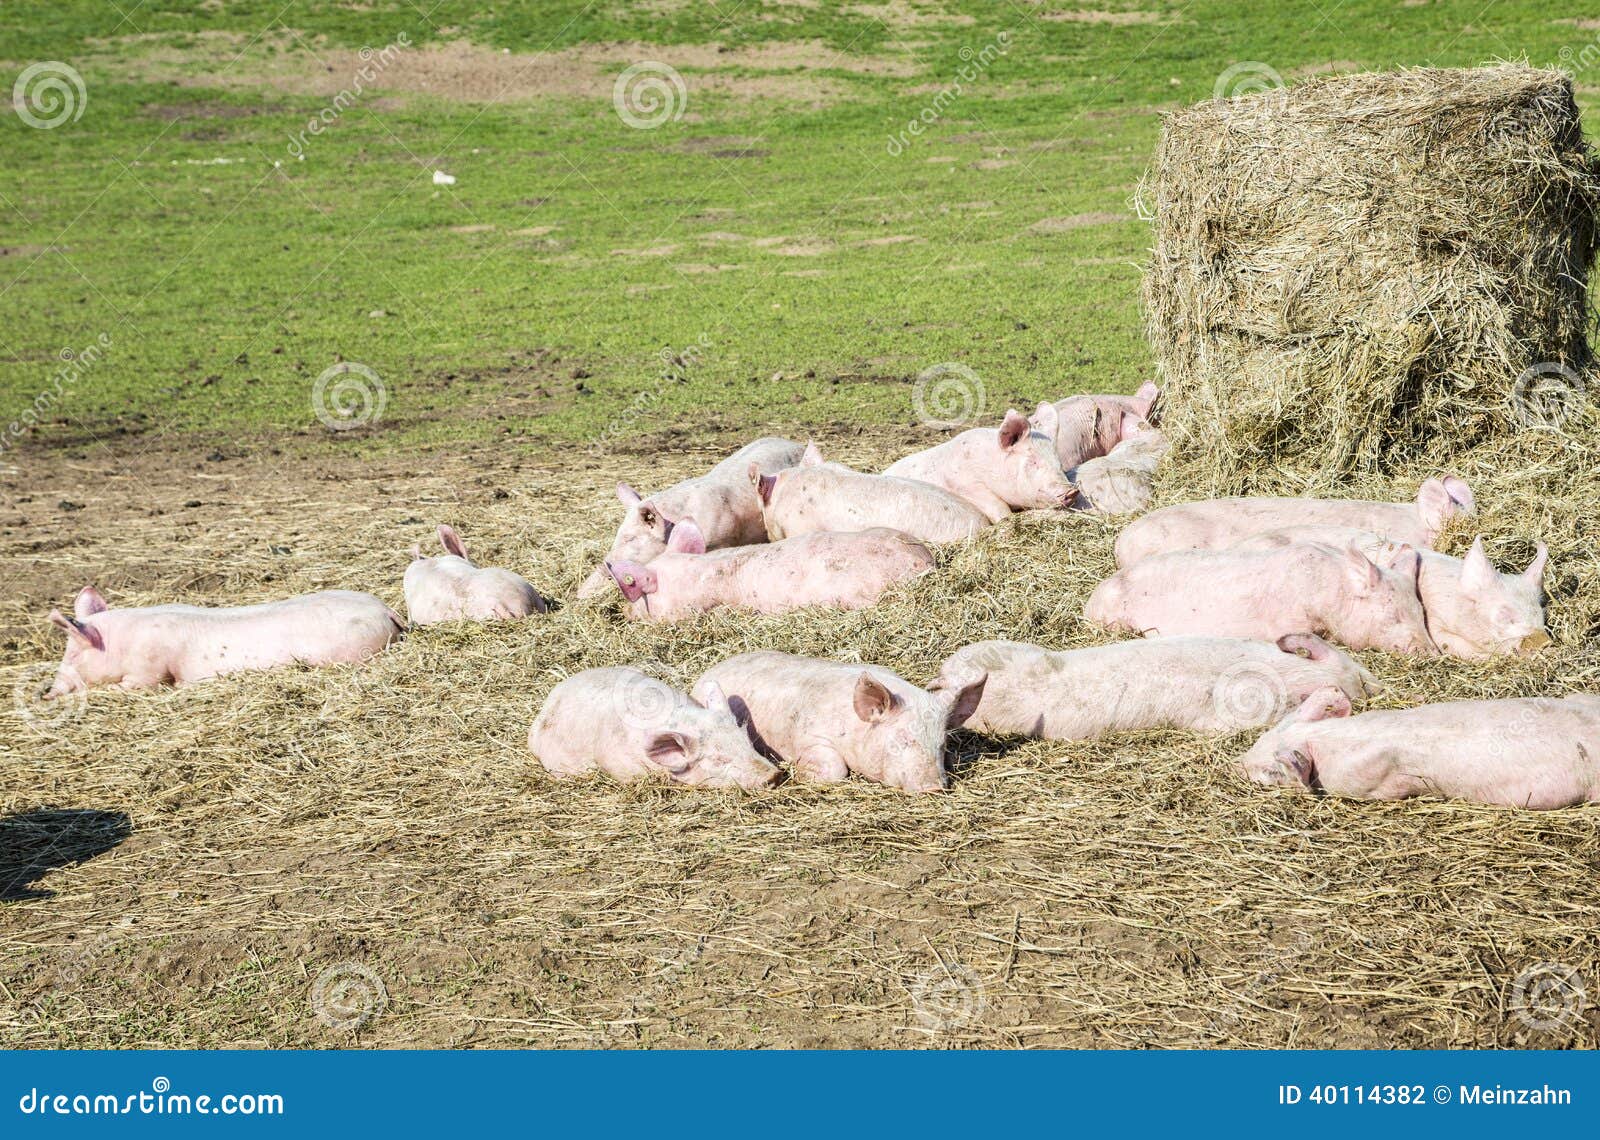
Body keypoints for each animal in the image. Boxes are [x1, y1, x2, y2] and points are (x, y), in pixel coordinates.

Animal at [692, 651, 986, 794]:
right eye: (904, 739)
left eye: (942, 744)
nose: (933, 788)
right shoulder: (811, 738)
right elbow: (835, 769)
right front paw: (802, 774)